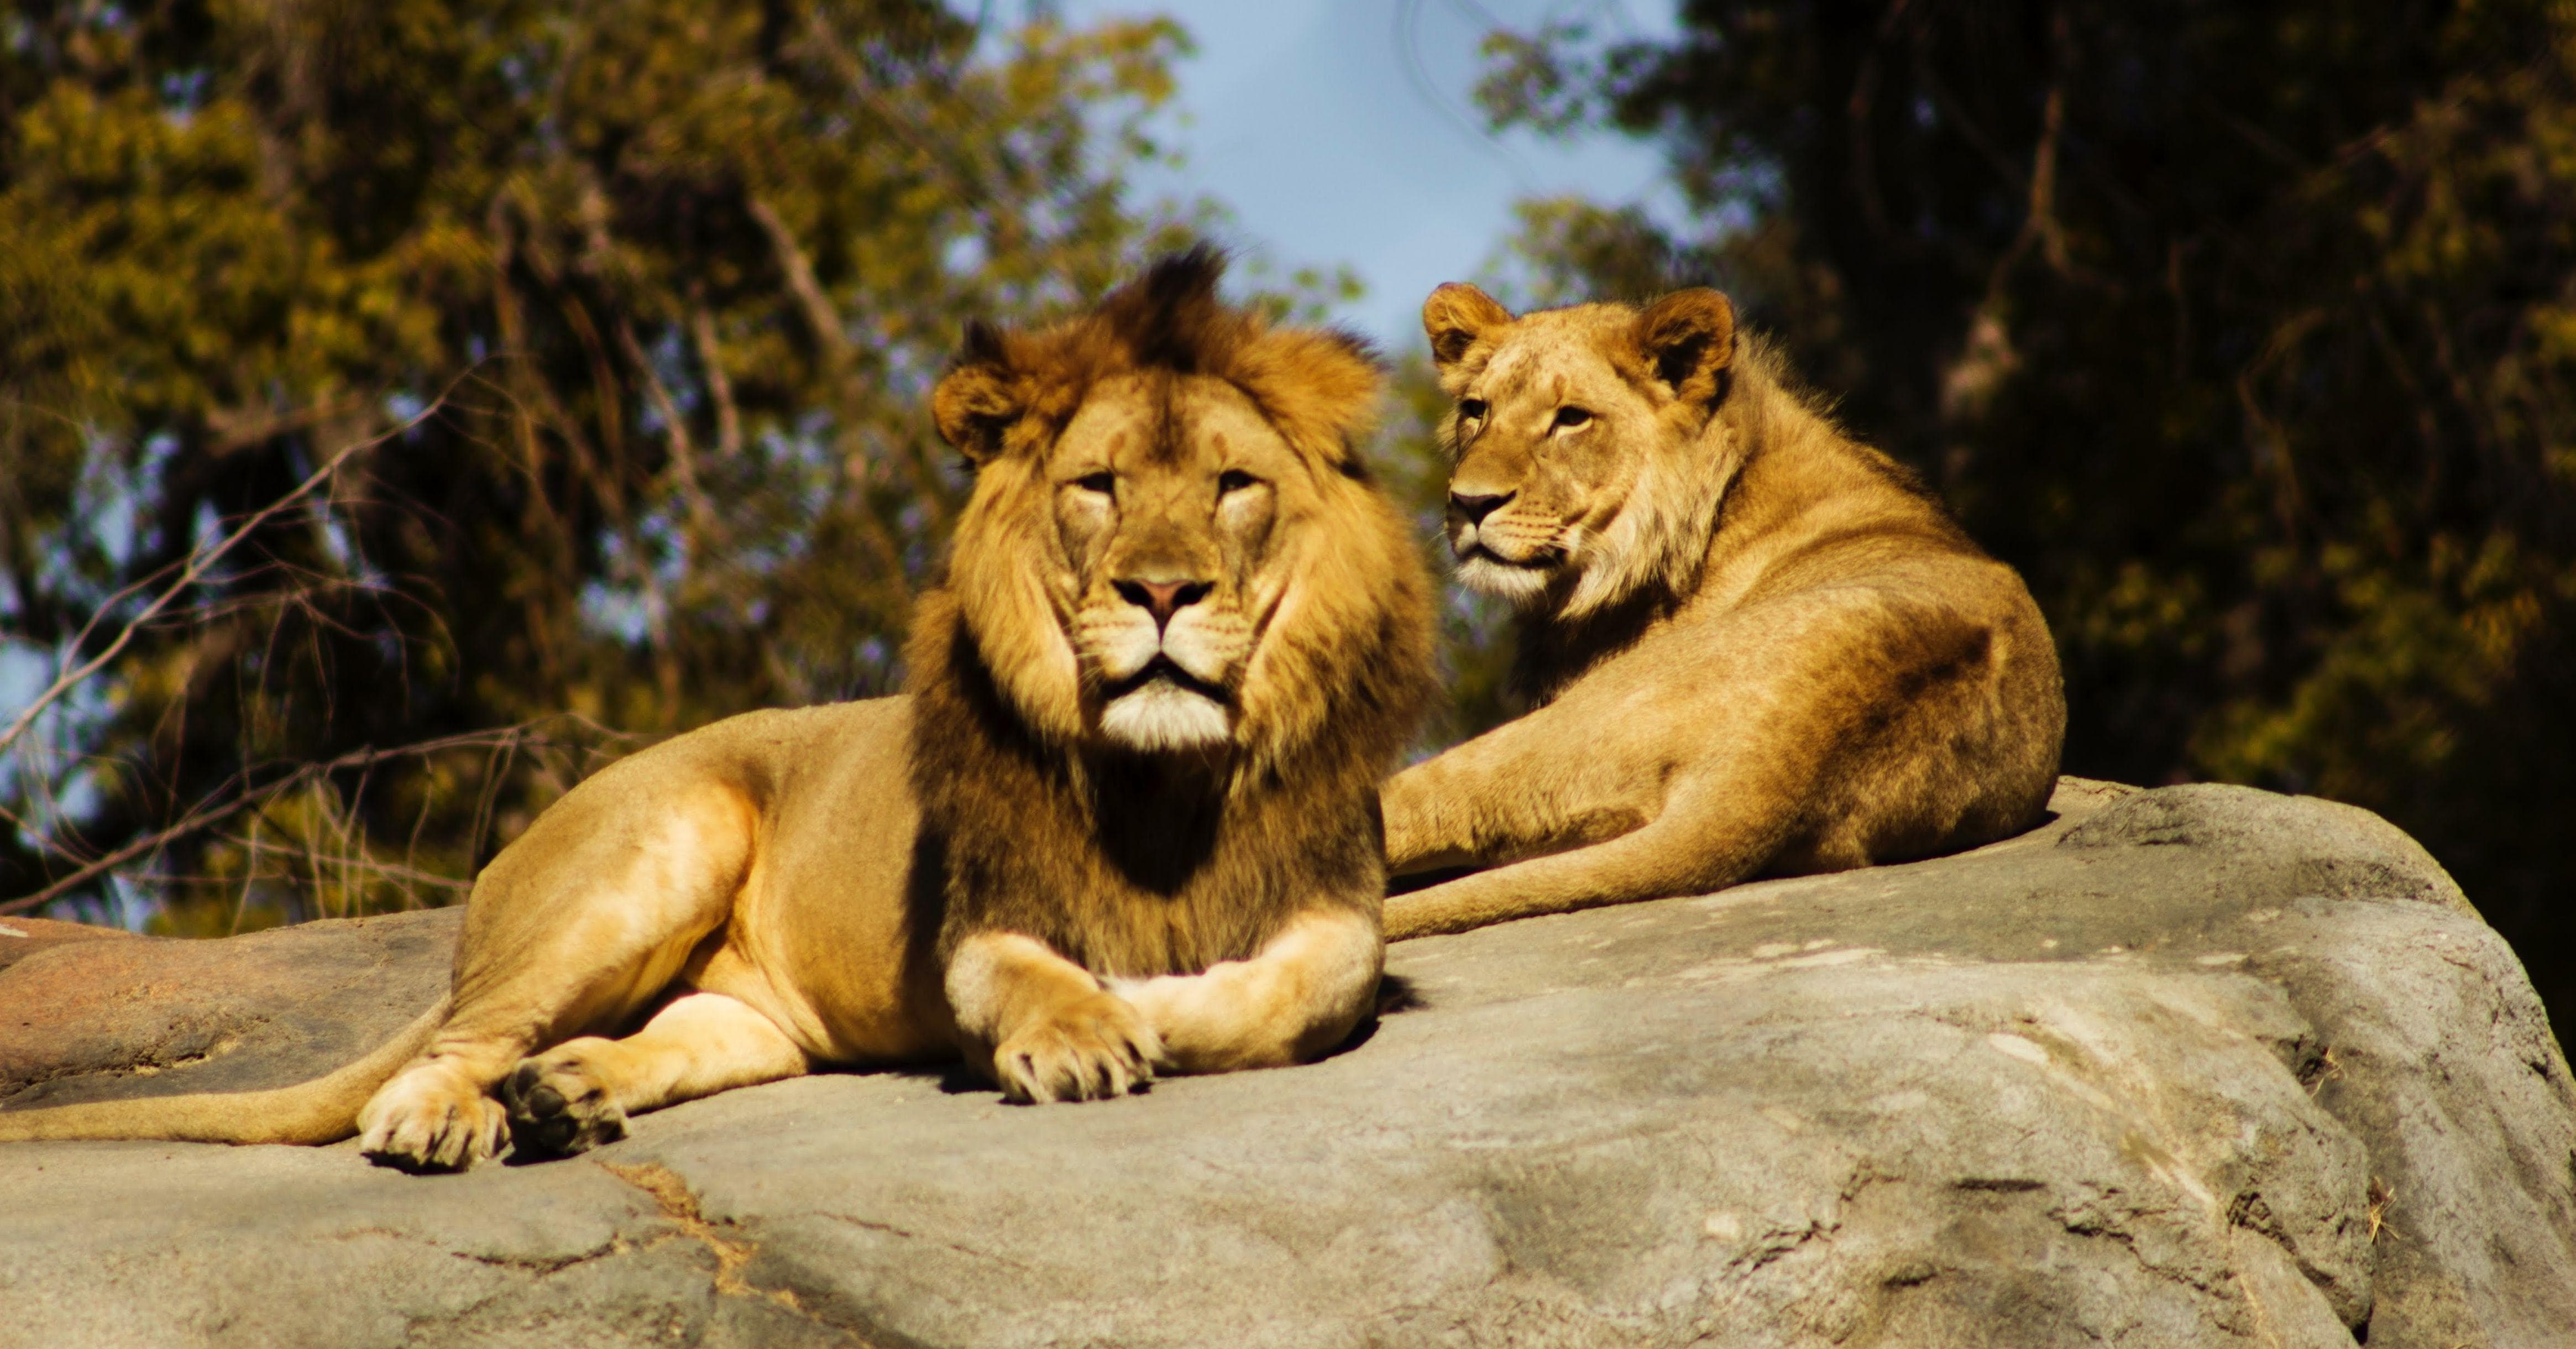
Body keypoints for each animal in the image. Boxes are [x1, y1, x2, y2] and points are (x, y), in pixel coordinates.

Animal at [0, 249, 1436, 1170]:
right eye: (1097, 486)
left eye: (1233, 486)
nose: (1161, 588)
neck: (1166, 774)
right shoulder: (982, 919)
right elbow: (1040, 974)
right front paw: (1089, 1027)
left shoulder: (1334, 907)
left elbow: (1292, 989)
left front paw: (1158, 1003)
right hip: (657, 847)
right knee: (447, 1046)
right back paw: (446, 1116)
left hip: (746, 1017)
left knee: (656, 1037)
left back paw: (563, 1093)